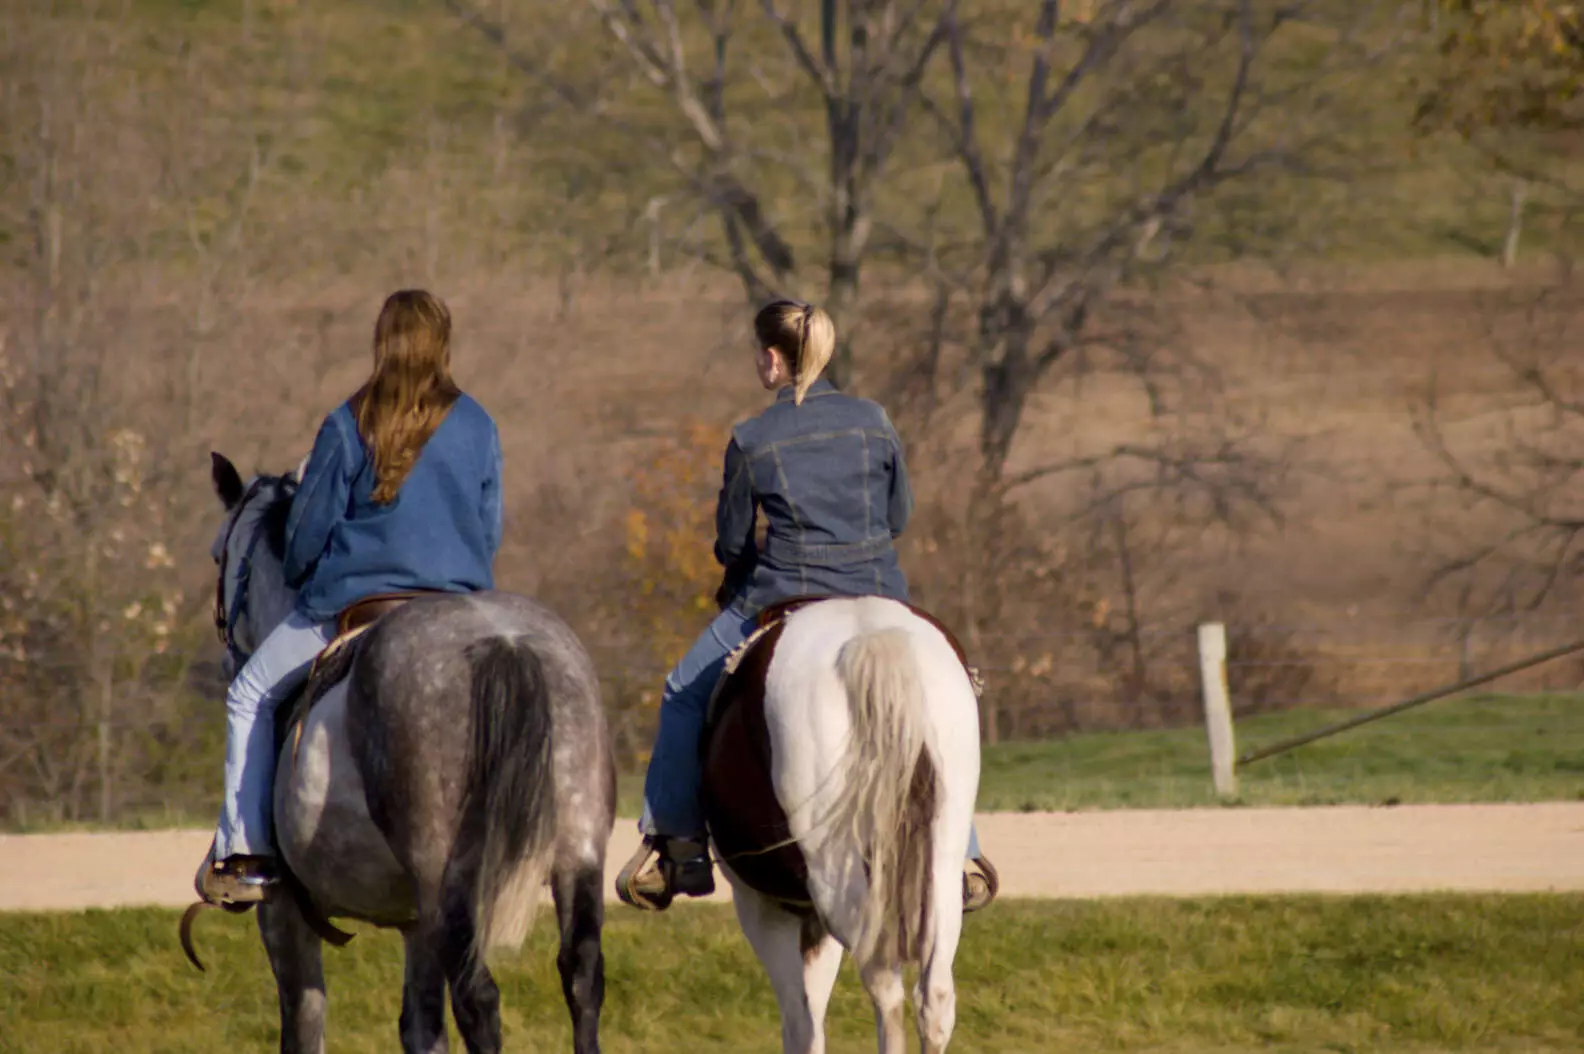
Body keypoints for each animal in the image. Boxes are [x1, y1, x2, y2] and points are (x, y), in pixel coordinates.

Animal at [190, 453, 617, 1052]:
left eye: (217, 553)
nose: (229, 658)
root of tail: (505, 642)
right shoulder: (418, 924)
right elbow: (422, 1030)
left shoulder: (282, 915)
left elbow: (305, 1022)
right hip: (577, 854)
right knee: (581, 977)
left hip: (448, 876)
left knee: (479, 997)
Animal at [703, 592, 975, 1052]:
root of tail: (870, 633)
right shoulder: (812, 921)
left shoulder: (764, 907)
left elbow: (800, 1022)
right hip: (941, 870)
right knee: (934, 997)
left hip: (833, 880)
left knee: (884, 985)